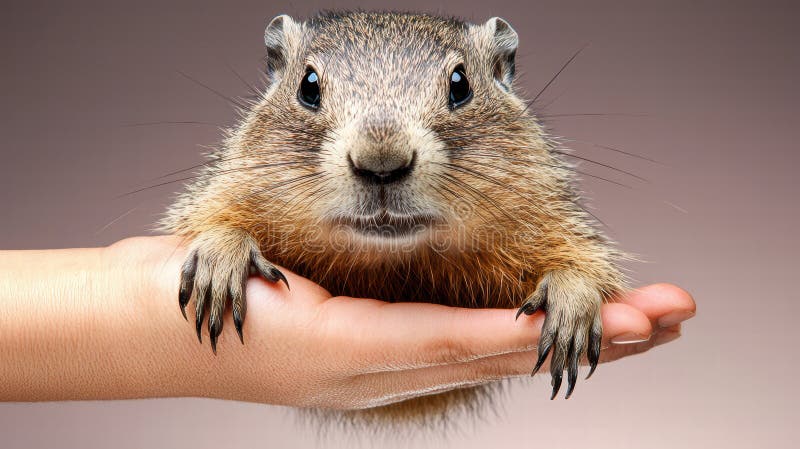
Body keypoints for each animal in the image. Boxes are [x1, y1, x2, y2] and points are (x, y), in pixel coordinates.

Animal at [162, 11, 626, 423]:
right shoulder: (227, 183)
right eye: (308, 86)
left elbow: (587, 261)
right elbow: (207, 219)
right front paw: (222, 256)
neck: (392, 264)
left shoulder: (548, 206)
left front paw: (571, 300)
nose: (381, 163)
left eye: (461, 84)